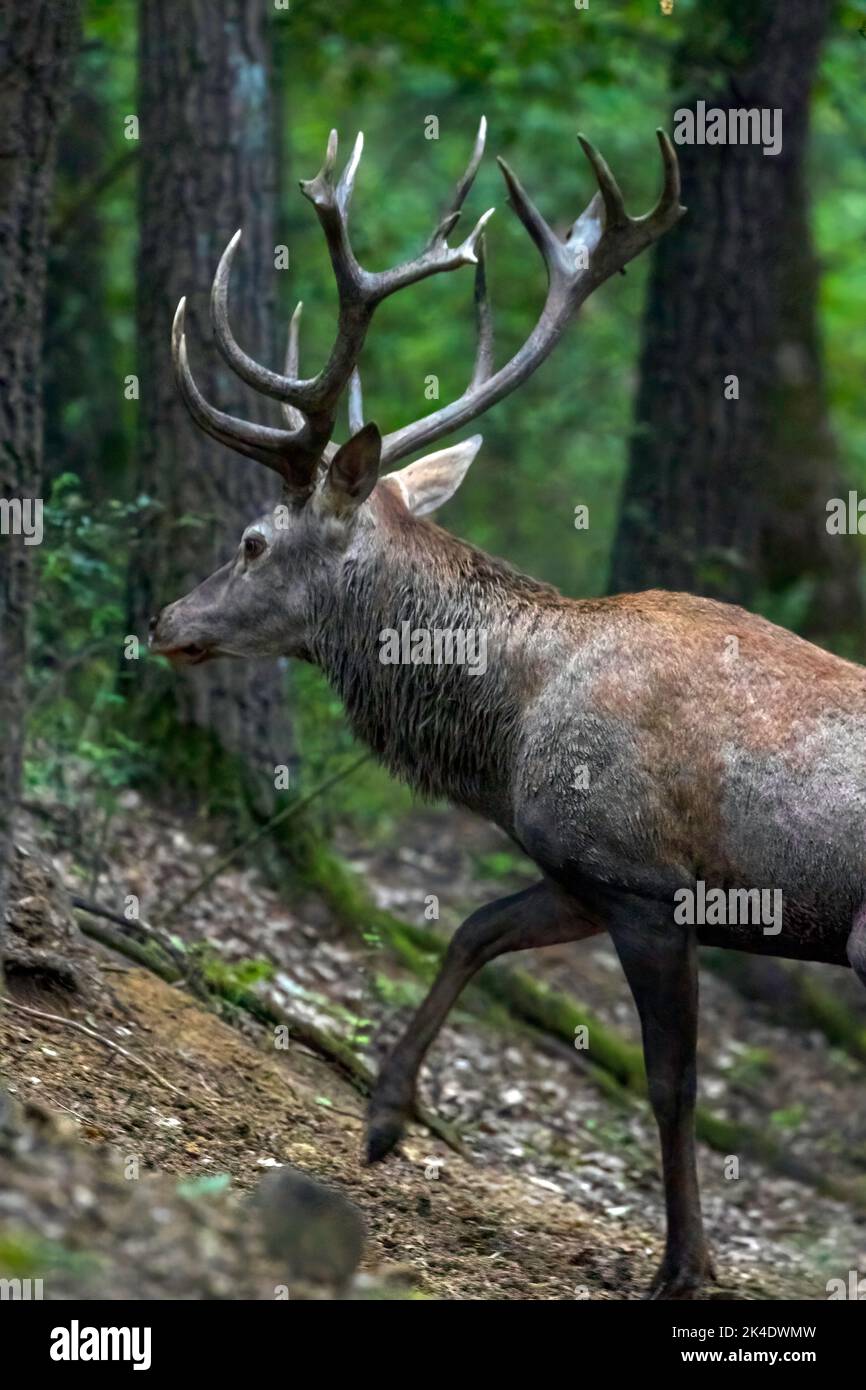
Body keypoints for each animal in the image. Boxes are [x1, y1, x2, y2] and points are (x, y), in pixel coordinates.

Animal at [149, 119, 866, 1300]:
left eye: (252, 541)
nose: (167, 618)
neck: (508, 735)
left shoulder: (642, 880)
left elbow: (670, 1086)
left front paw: (683, 1266)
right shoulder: (574, 874)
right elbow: (473, 929)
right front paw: (384, 1120)